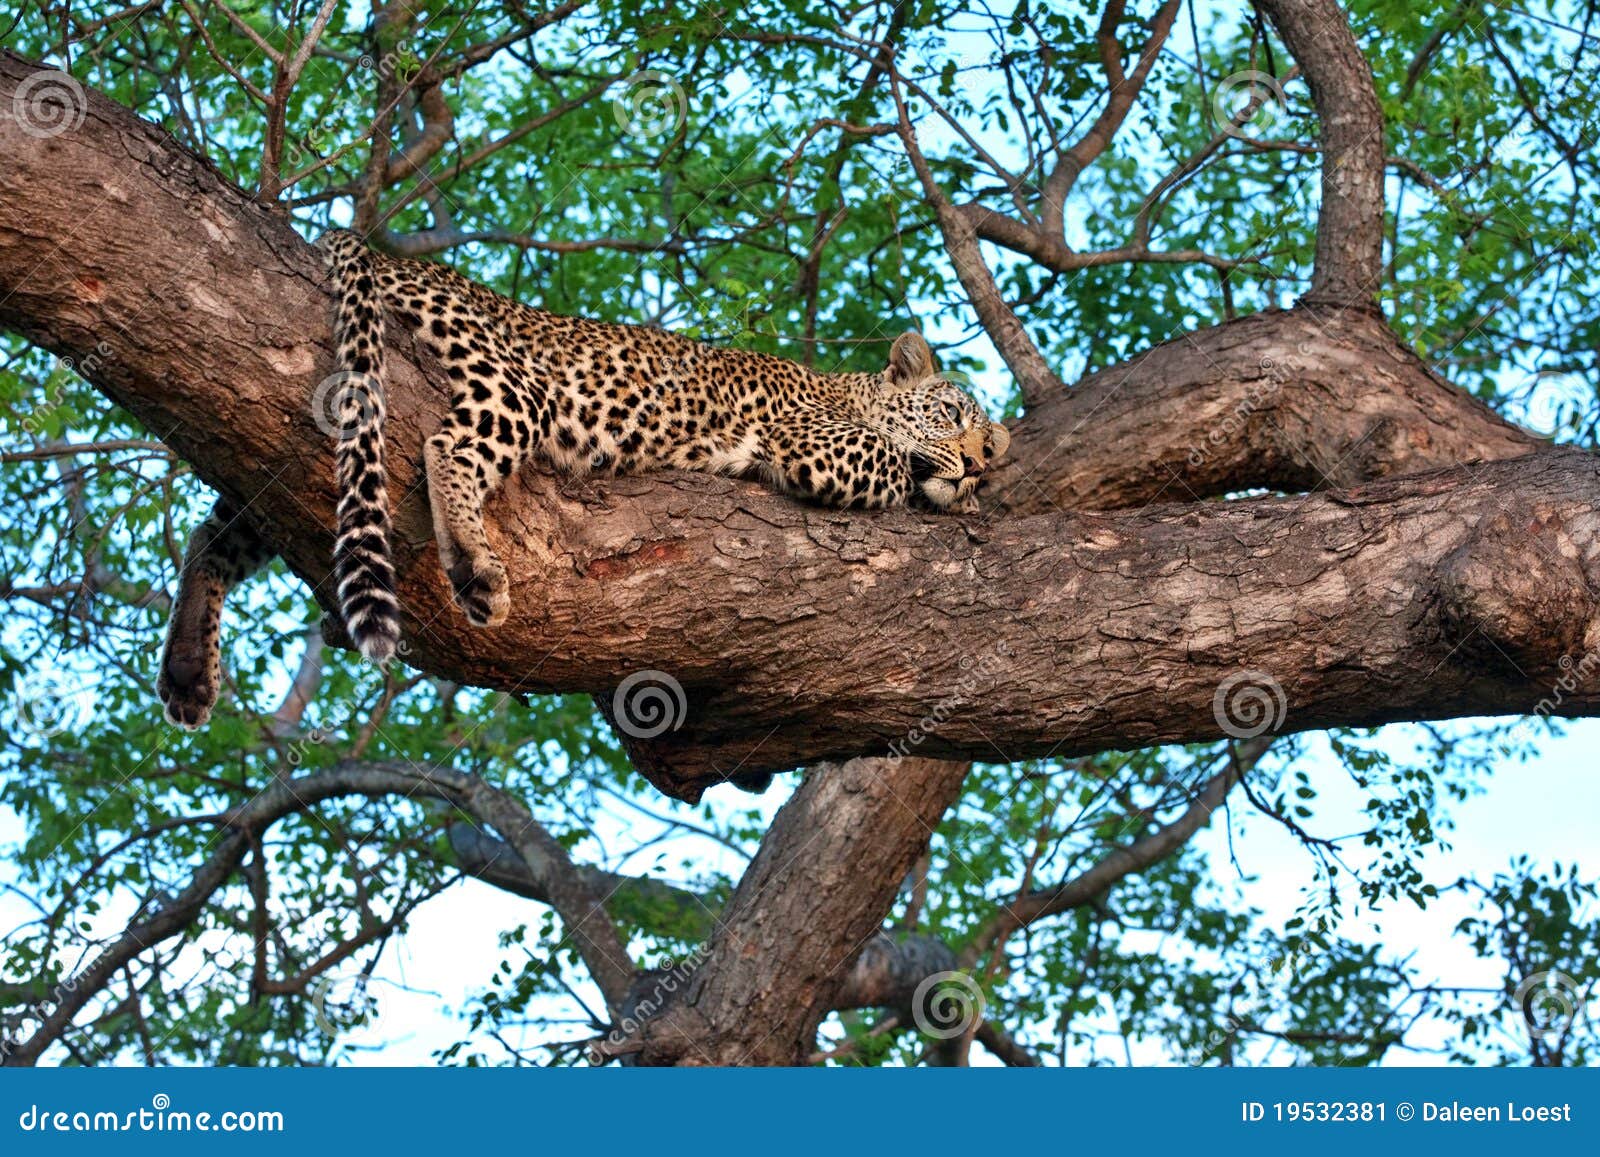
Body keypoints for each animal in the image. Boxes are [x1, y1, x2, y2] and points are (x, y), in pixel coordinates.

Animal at [157, 228, 1011, 729]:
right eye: (950, 412)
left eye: (991, 448)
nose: (980, 461)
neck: (849, 389)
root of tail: (396, 258)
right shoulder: (812, 439)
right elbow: (893, 464)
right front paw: (934, 479)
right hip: (515, 385)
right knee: (447, 445)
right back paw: (472, 564)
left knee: (220, 529)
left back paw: (188, 669)